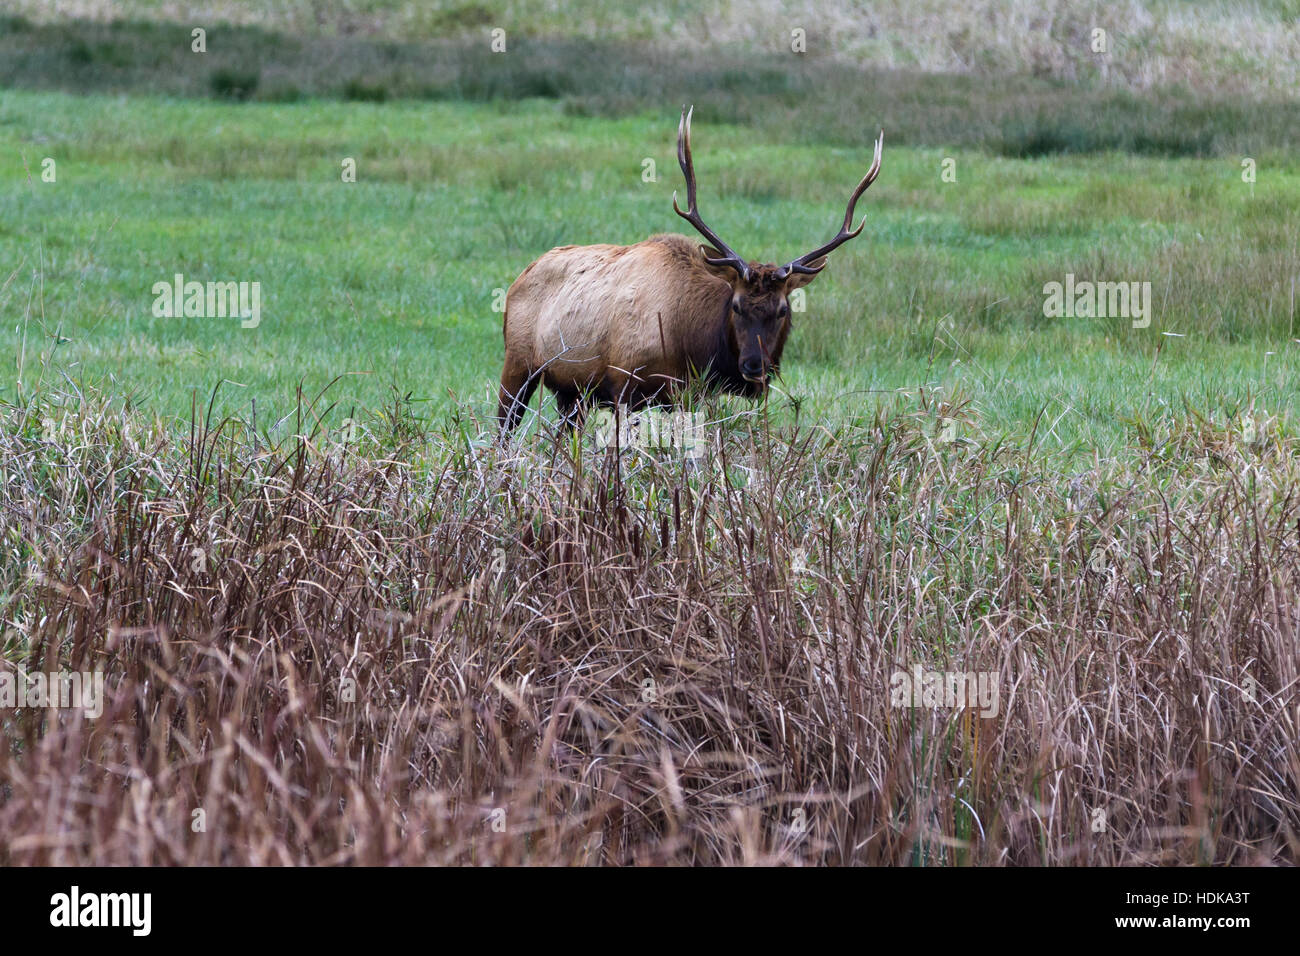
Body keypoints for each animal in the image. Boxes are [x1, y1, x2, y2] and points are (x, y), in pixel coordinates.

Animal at [497, 106, 883, 435]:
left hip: (570, 393)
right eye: (736, 306)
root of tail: (521, 275)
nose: (754, 366)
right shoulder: (623, 382)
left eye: (783, 310)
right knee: (502, 429)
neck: (687, 338)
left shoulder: (689, 396)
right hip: (517, 364)